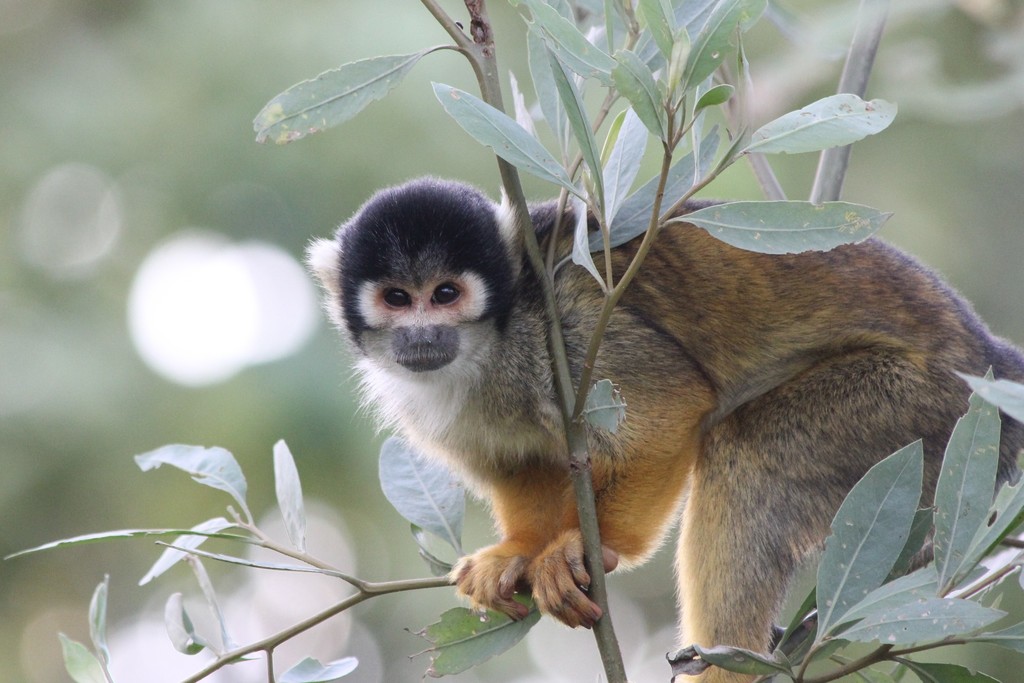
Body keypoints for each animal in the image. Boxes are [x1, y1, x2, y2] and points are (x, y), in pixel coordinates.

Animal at [307, 177, 1024, 682]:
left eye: (446, 294)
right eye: (397, 298)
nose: (422, 335)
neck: (494, 342)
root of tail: (985, 356)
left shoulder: (568, 325)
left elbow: (673, 407)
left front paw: (592, 548)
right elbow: (522, 464)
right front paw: (520, 549)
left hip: (921, 409)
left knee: (747, 450)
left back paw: (724, 668)